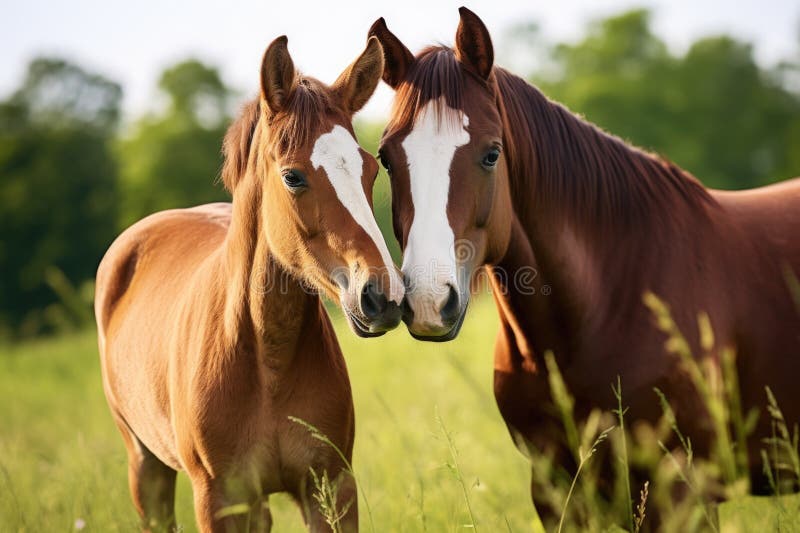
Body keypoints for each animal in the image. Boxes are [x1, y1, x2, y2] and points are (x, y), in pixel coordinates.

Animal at [95, 35, 403, 532]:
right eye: (293, 176)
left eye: (371, 170)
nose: (382, 296)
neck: (265, 360)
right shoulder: (218, 500)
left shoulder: (331, 487)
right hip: (147, 467)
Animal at [369, 7, 800, 527]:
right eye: (386, 158)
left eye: (492, 153)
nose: (430, 302)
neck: (614, 298)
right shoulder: (557, 491)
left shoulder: (684, 493)